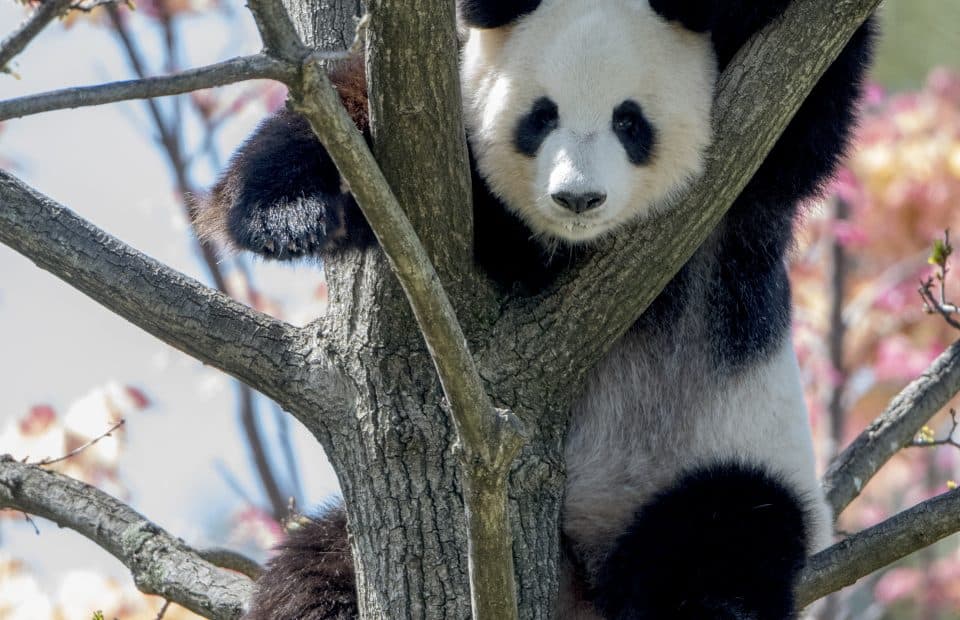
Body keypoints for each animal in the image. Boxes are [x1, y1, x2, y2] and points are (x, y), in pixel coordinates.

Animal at [196, 1, 874, 618]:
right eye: (540, 117)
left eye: (630, 122)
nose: (578, 198)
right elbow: (339, 115)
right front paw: (287, 213)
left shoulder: (741, 203)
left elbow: (805, 113)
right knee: (317, 564)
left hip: (728, 465)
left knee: (727, 538)